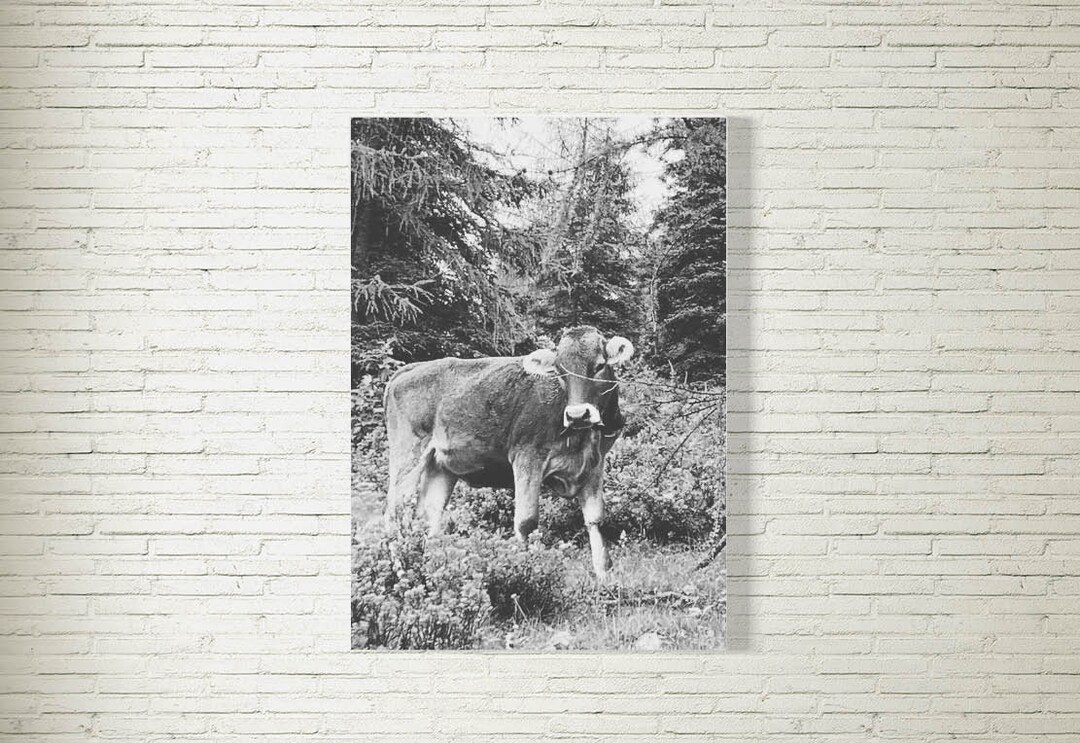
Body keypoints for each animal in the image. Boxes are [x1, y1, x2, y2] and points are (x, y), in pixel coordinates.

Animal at [382, 326, 635, 579]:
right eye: (559, 370)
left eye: (600, 365)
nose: (577, 415)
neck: (582, 438)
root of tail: (409, 369)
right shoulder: (527, 456)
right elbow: (526, 522)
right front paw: (526, 569)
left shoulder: (595, 464)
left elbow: (595, 519)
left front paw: (603, 576)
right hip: (408, 455)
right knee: (393, 516)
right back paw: (403, 573)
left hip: (441, 465)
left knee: (428, 516)